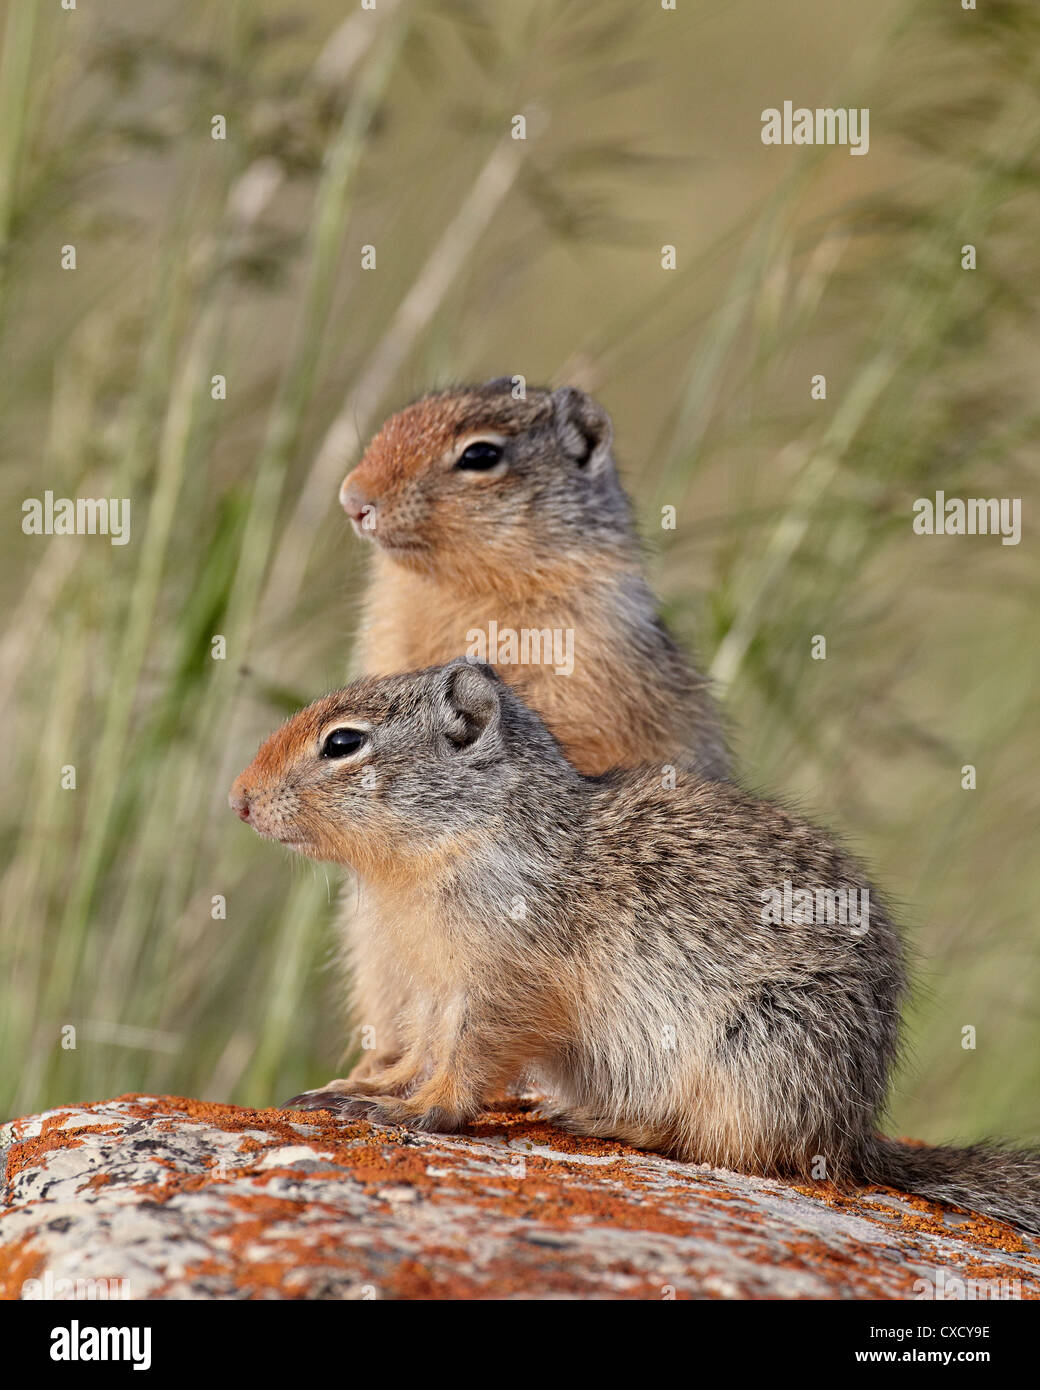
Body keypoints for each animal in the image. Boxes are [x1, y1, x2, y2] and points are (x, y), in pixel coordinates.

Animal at [230, 659, 1040, 1235]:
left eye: (343, 742)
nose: (237, 799)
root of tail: (854, 1133)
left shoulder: (500, 982)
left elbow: (466, 1061)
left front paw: (415, 1113)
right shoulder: (429, 984)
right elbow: (420, 1049)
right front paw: (362, 1089)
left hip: (755, 1053)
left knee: (727, 1148)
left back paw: (599, 1119)